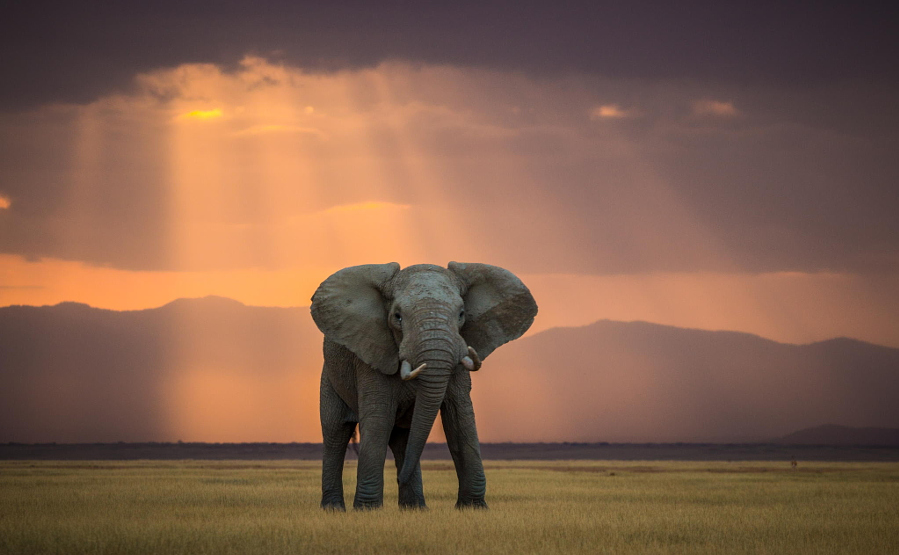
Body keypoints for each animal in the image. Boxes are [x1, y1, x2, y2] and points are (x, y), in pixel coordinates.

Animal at [310, 262, 537, 510]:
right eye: (398, 317)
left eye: (461, 314)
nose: (399, 479)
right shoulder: (372, 357)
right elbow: (379, 420)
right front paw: (367, 511)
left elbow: (460, 418)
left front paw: (474, 508)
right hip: (329, 377)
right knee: (335, 432)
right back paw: (333, 509)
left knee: (403, 438)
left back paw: (414, 508)